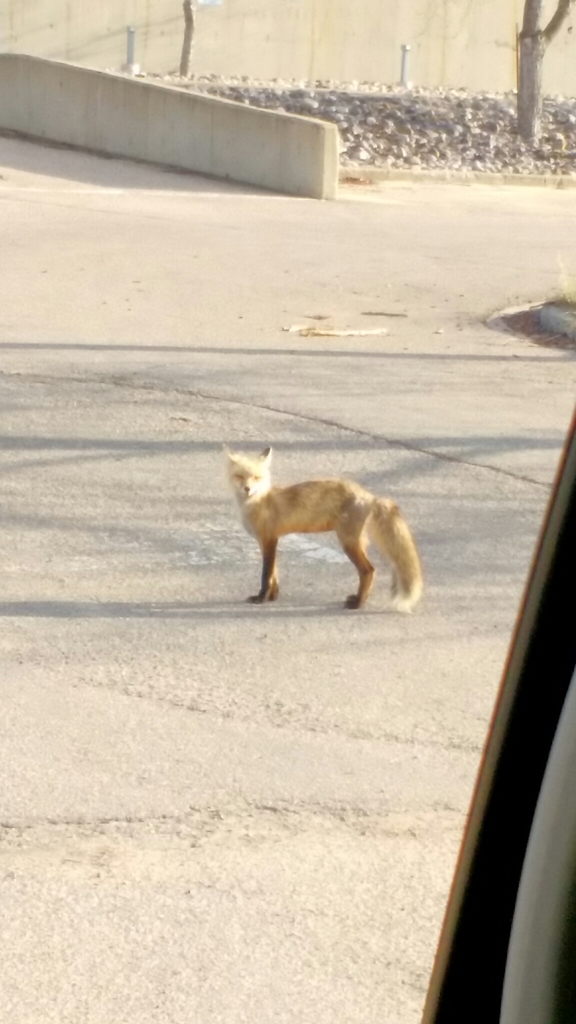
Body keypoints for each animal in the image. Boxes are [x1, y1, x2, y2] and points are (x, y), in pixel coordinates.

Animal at [225, 446, 423, 612]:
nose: (247, 489)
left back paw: (357, 604)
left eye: (256, 477)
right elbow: (274, 573)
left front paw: (261, 598)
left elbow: (266, 574)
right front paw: (273, 596)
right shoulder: (267, 541)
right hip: (358, 542)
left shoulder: (269, 539)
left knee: (369, 571)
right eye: (240, 476)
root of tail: (369, 496)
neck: (261, 501)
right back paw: (360, 598)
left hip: (347, 543)